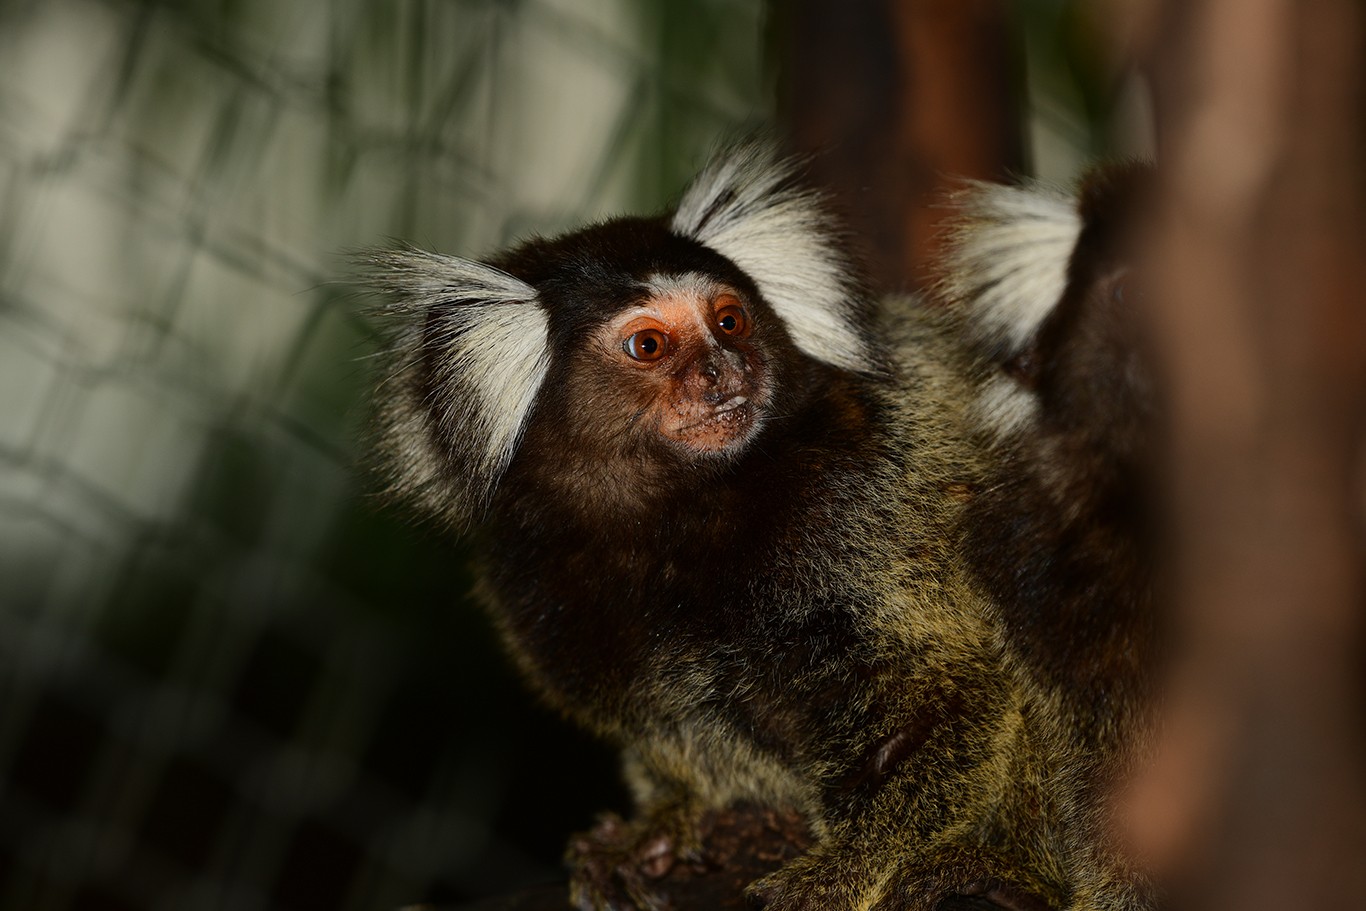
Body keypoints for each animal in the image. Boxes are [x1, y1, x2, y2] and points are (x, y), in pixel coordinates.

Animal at [361, 140, 1152, 911]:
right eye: (648, 346)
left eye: (729, 321)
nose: (724, 370)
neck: (675, 520)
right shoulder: (537, 579)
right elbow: (673, 726)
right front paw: (668, 822)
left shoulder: (866, 497)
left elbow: (951, 686)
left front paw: (848, 865)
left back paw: (1006, 872)